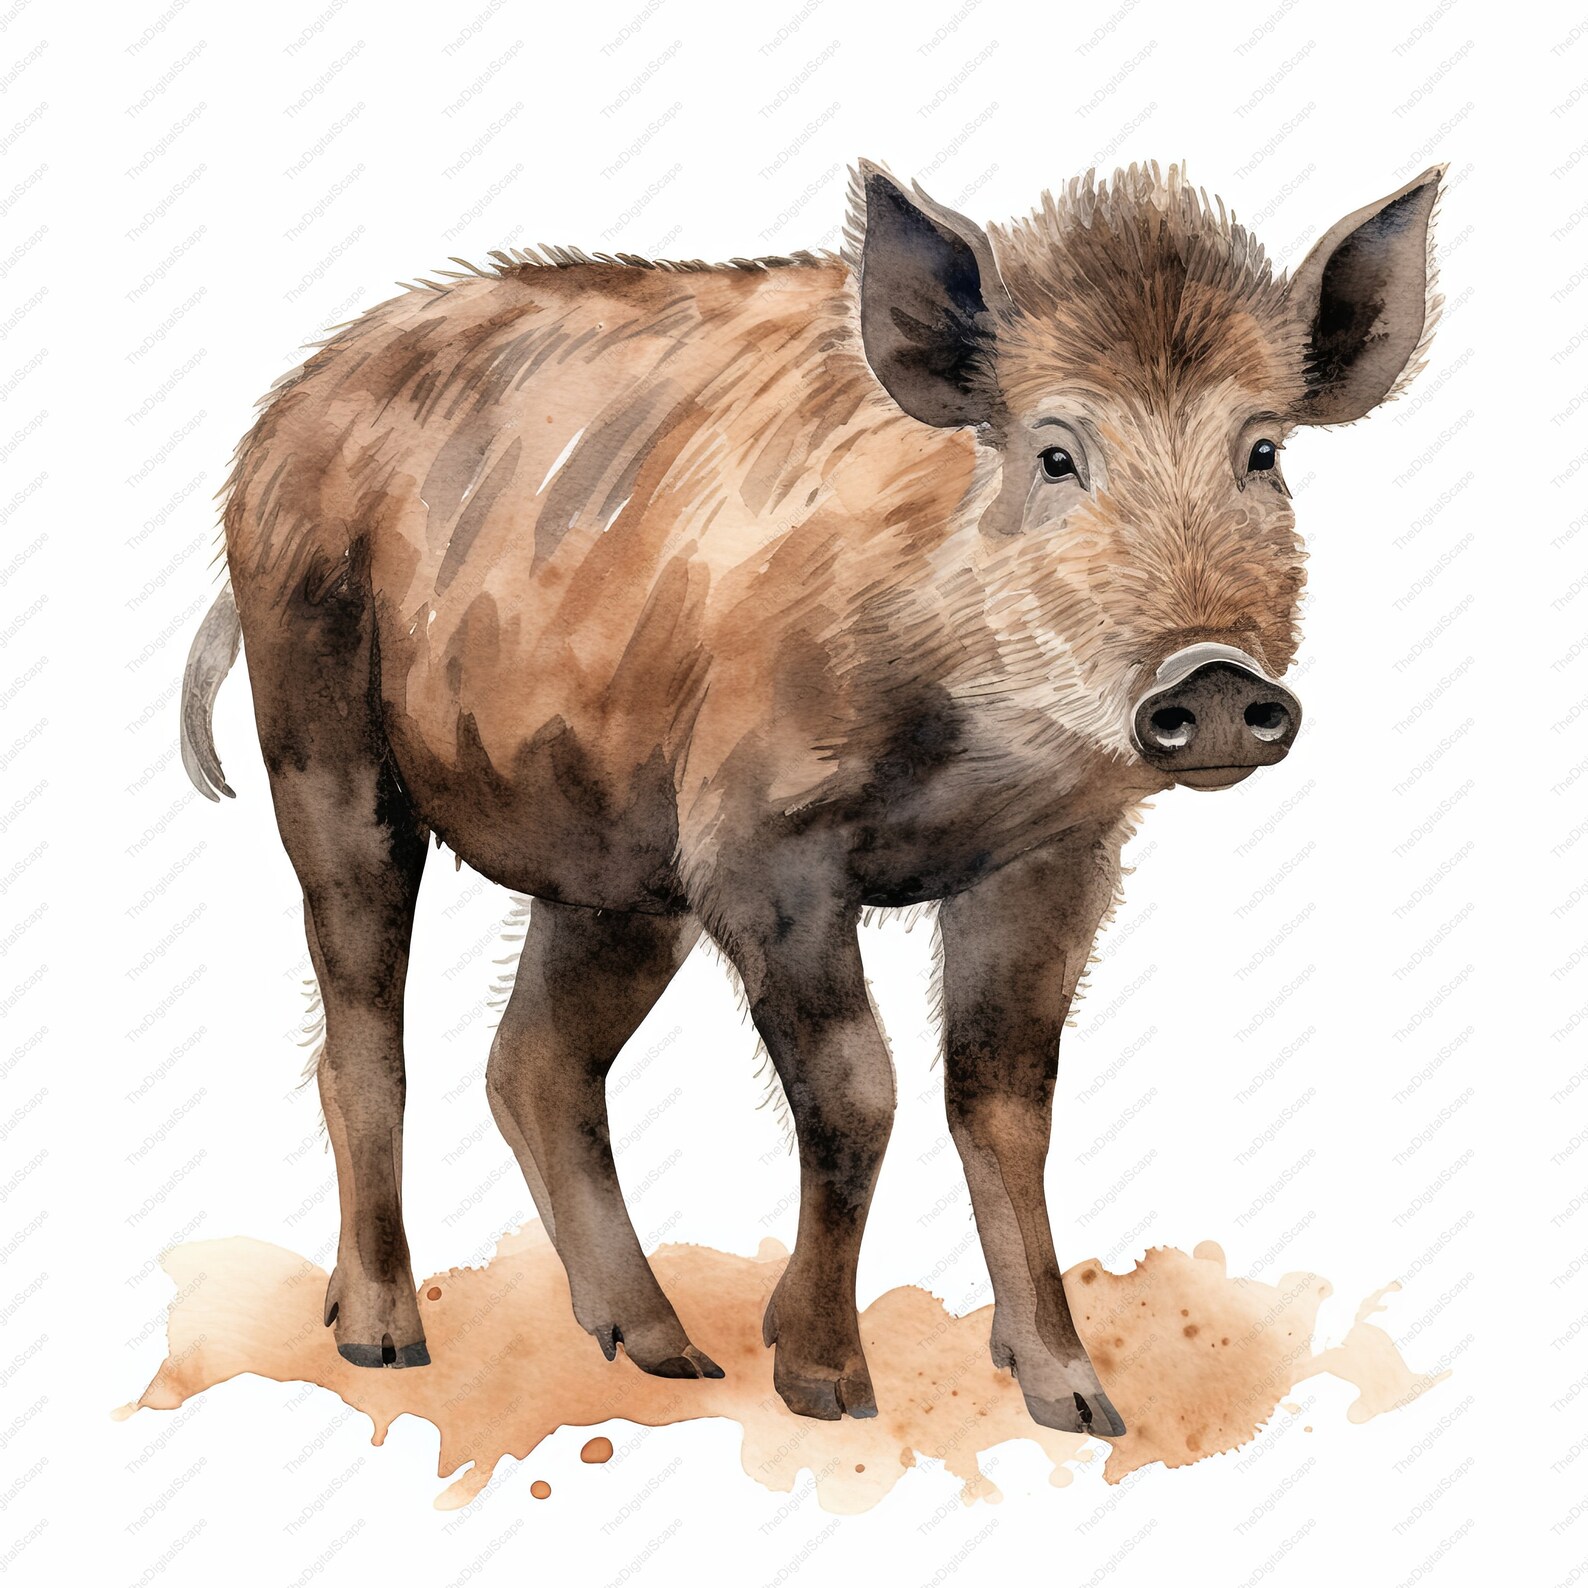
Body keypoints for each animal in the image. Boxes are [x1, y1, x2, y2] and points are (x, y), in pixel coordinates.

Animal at [180, 159, 1444, 1436]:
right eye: (1054, 455)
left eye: (1262, 451)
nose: (1216, 677)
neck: (969, 753)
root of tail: (281, 421)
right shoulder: (760, 850)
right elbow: (855, 1093)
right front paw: (828, 1389)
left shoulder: (1053, 860)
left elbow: (1004, 1104)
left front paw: (1079, 1404)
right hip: (322, 739)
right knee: (362, 1037)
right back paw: (386, 1339)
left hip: (614, 872)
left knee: (532, 1060)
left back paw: (665, 1355)